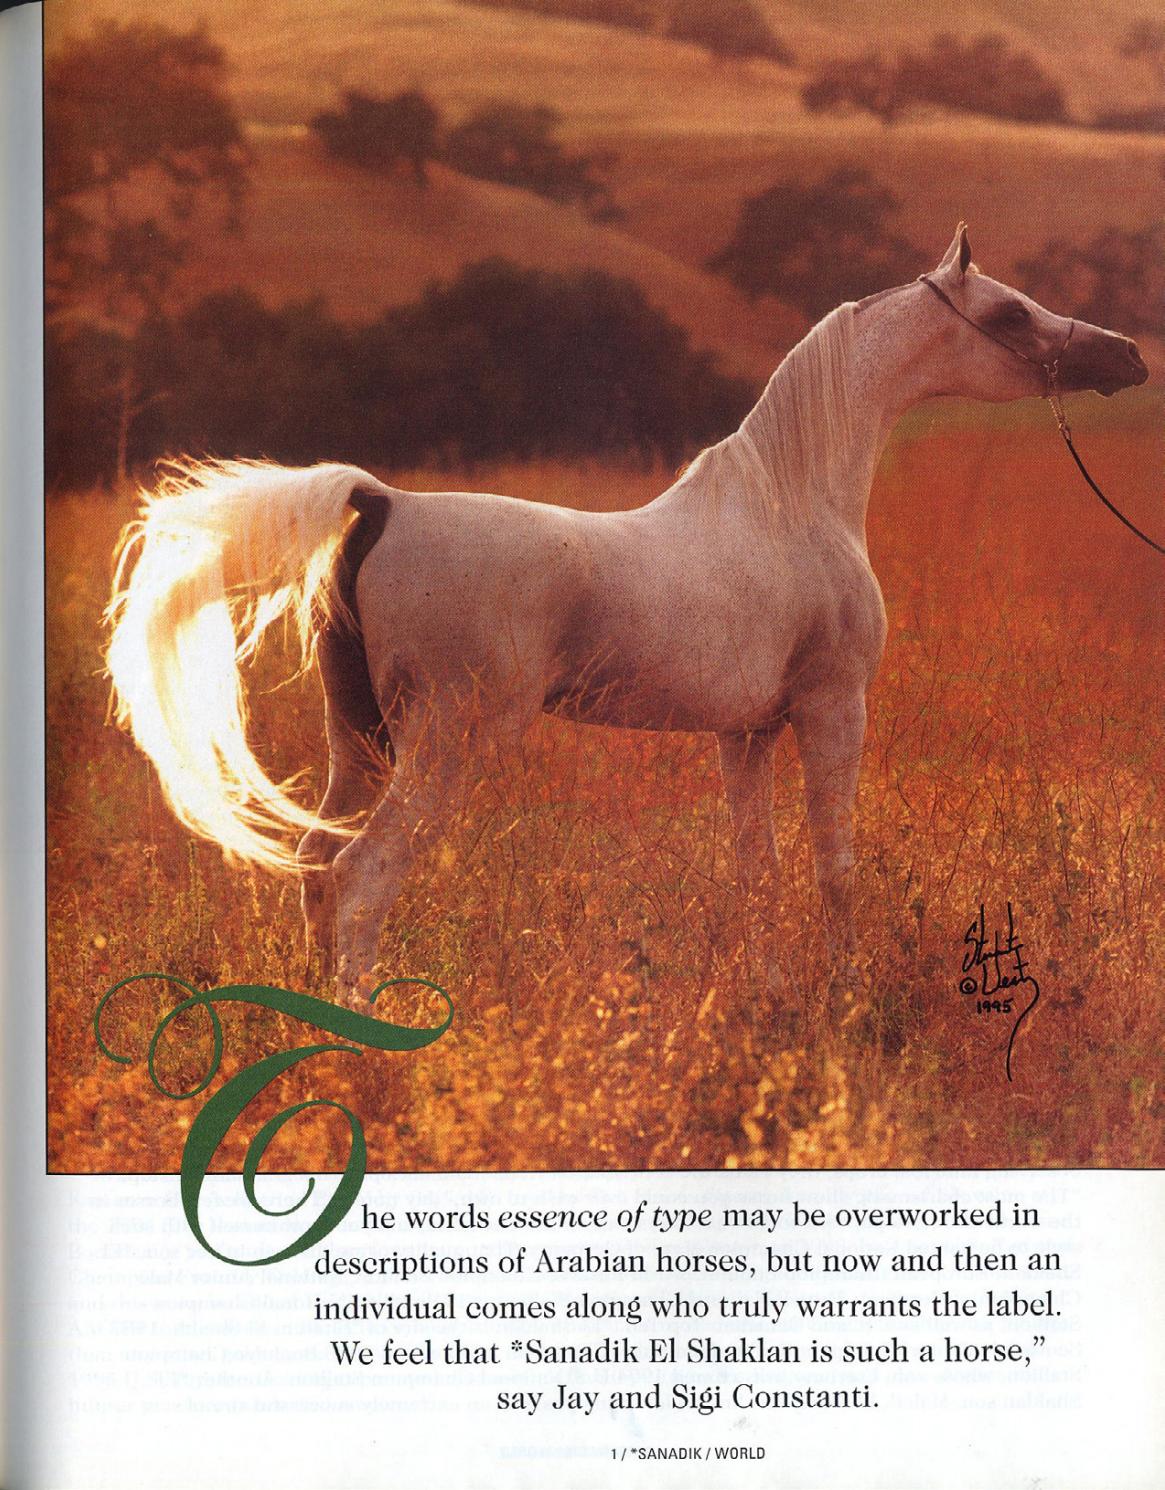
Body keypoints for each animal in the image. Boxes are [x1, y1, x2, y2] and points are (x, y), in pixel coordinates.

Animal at [105, 225, 1148, 1008]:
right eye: (1009, 312)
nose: (1127, 354)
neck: (790, 501)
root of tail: (381, 503)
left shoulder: (745, 734)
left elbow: (757, 870)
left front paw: (770, 996)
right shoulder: (831, 710)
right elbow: (833, 866)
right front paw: (845, 1000)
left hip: (356, 739)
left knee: (319, 868)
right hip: (448, 742)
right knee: (364, 877)